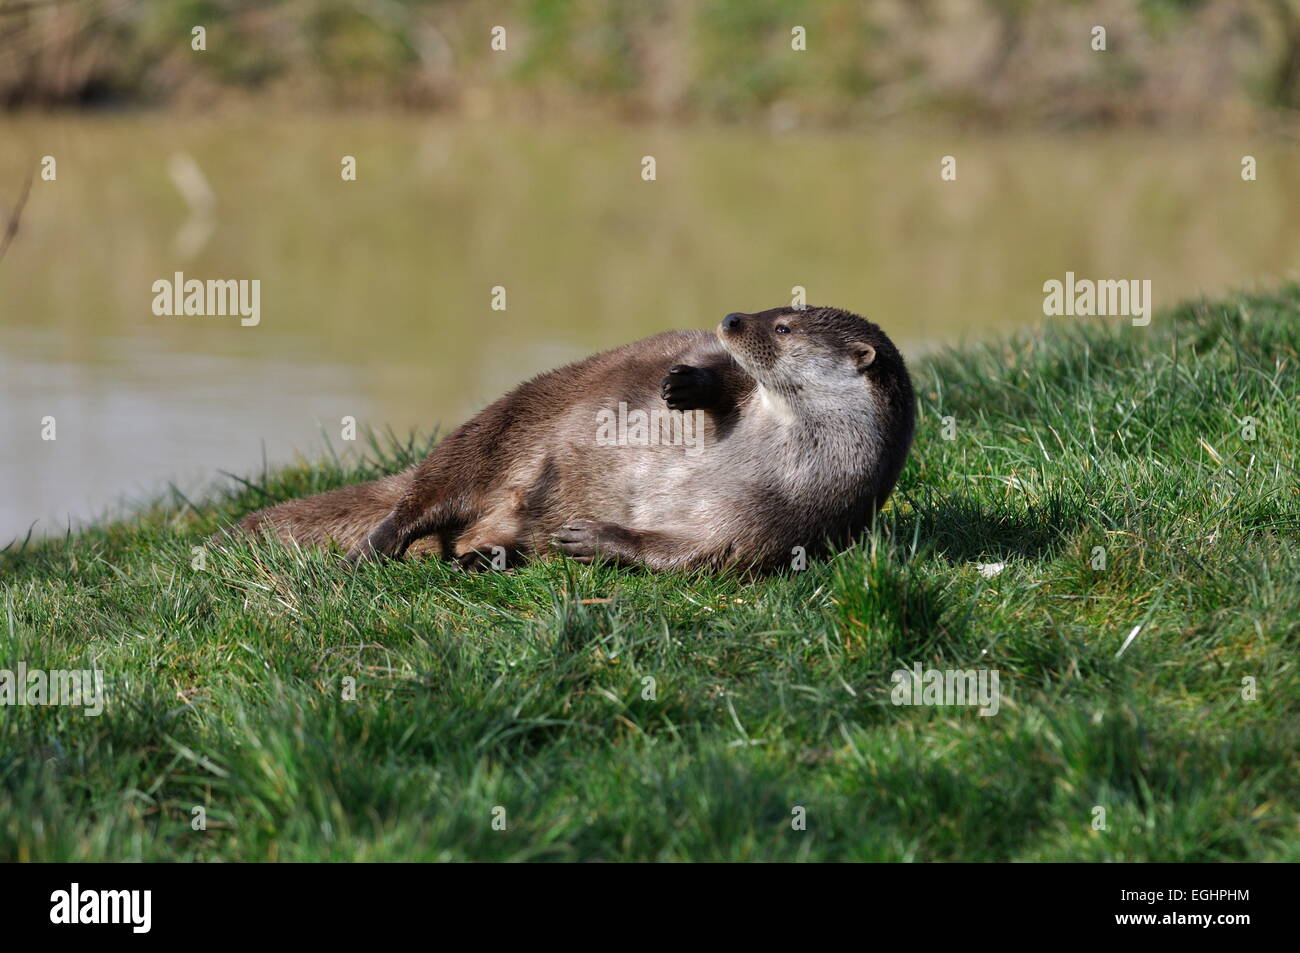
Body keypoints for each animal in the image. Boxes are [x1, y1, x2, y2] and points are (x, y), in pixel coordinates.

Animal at [229, 306, 916, 572]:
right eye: (771, 310)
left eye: (782, 326)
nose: (732, 318)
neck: (757, 462)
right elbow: (713, 368)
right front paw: (687, 384)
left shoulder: (779, 529)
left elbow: (691, 557)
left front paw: (595, 538)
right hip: (501, 425)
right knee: (424, 496)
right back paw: (370, 551)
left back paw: (485, 556)